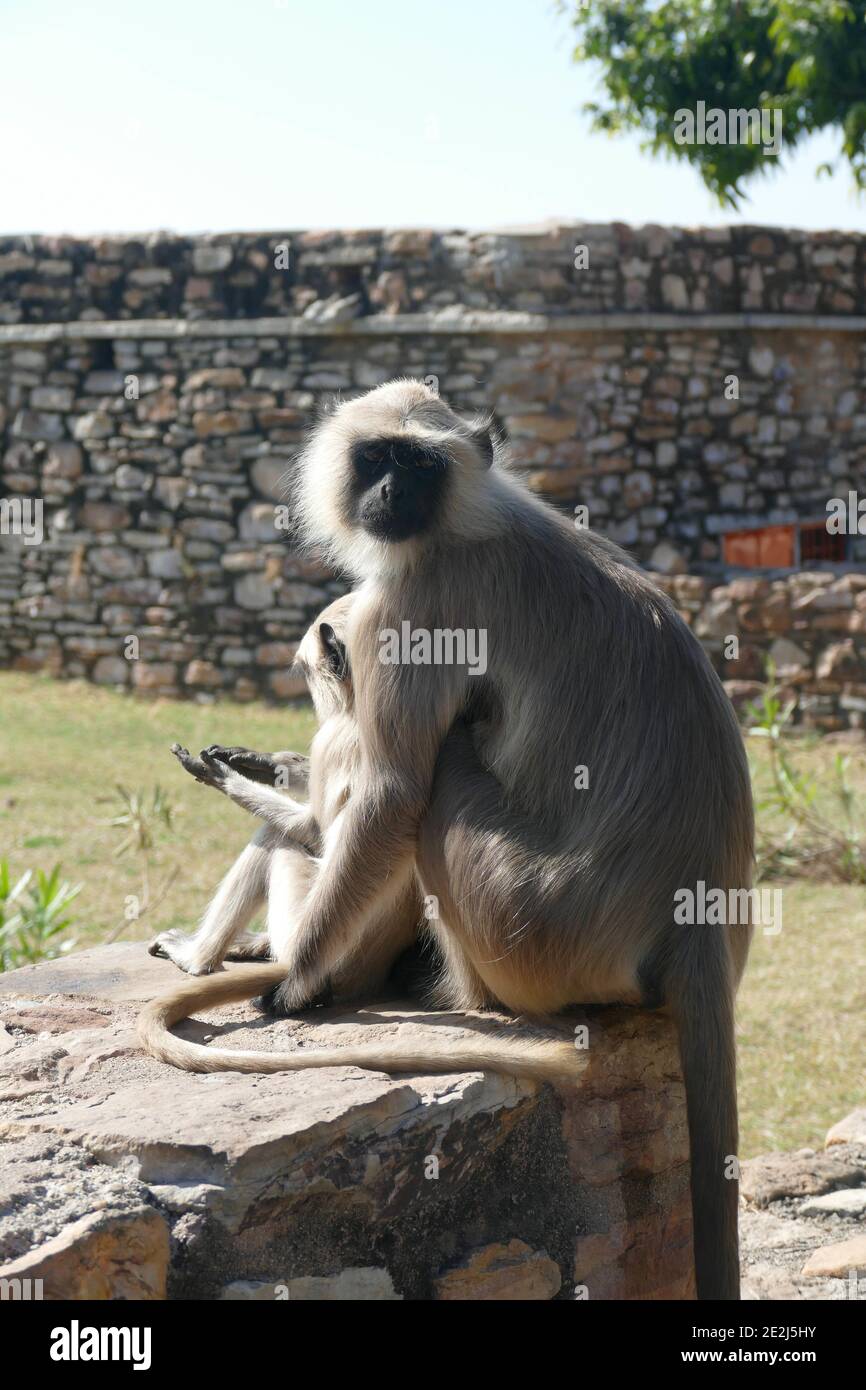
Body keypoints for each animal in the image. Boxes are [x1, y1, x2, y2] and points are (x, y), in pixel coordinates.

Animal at [140, 378, 754, 1300]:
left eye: (420, 465)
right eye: (377, 458)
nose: (392, 494)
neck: (462, 523)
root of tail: (697, 918)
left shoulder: (415, 603)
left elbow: (391, 793)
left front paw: (293, 982)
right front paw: (269, 763)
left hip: (533, 931)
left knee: (442, 776)